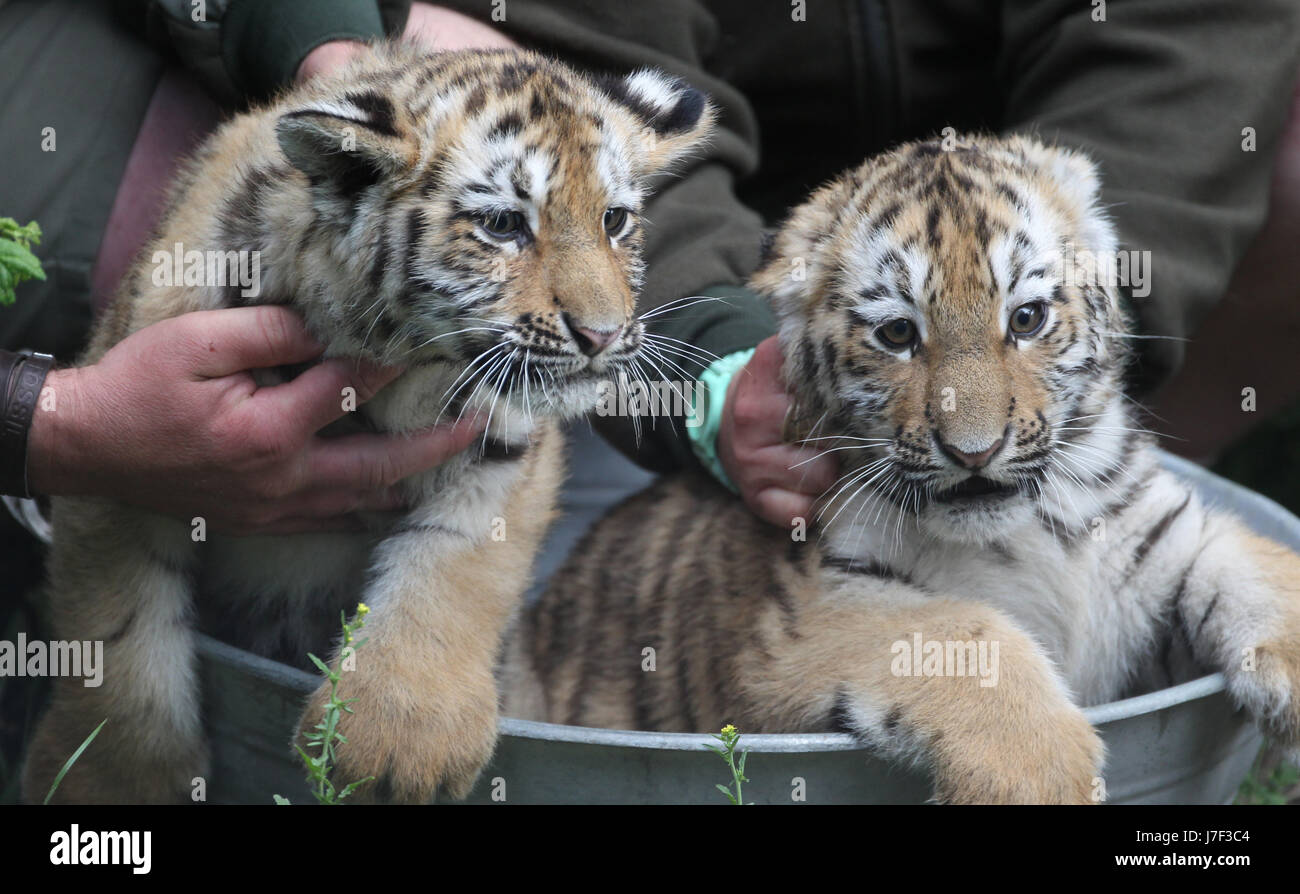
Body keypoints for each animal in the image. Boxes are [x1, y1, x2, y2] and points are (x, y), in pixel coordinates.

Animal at [23, 43, 713, 804]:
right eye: (504, 225)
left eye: (613, 221)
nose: (602, 335)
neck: (400, 360)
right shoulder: (125, 458)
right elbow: (115, 637)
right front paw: (103, 778)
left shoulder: (505, 444)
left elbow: (457, 571)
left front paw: (398, 746)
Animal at [501, 134, 1300, 804]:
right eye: (896, 335)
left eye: (1027, 319)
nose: (974, 451)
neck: (1032, 528)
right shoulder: (806, 618)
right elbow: (971, 630)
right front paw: (1040, 776)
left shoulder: (1169, 539)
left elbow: (1262, 572)